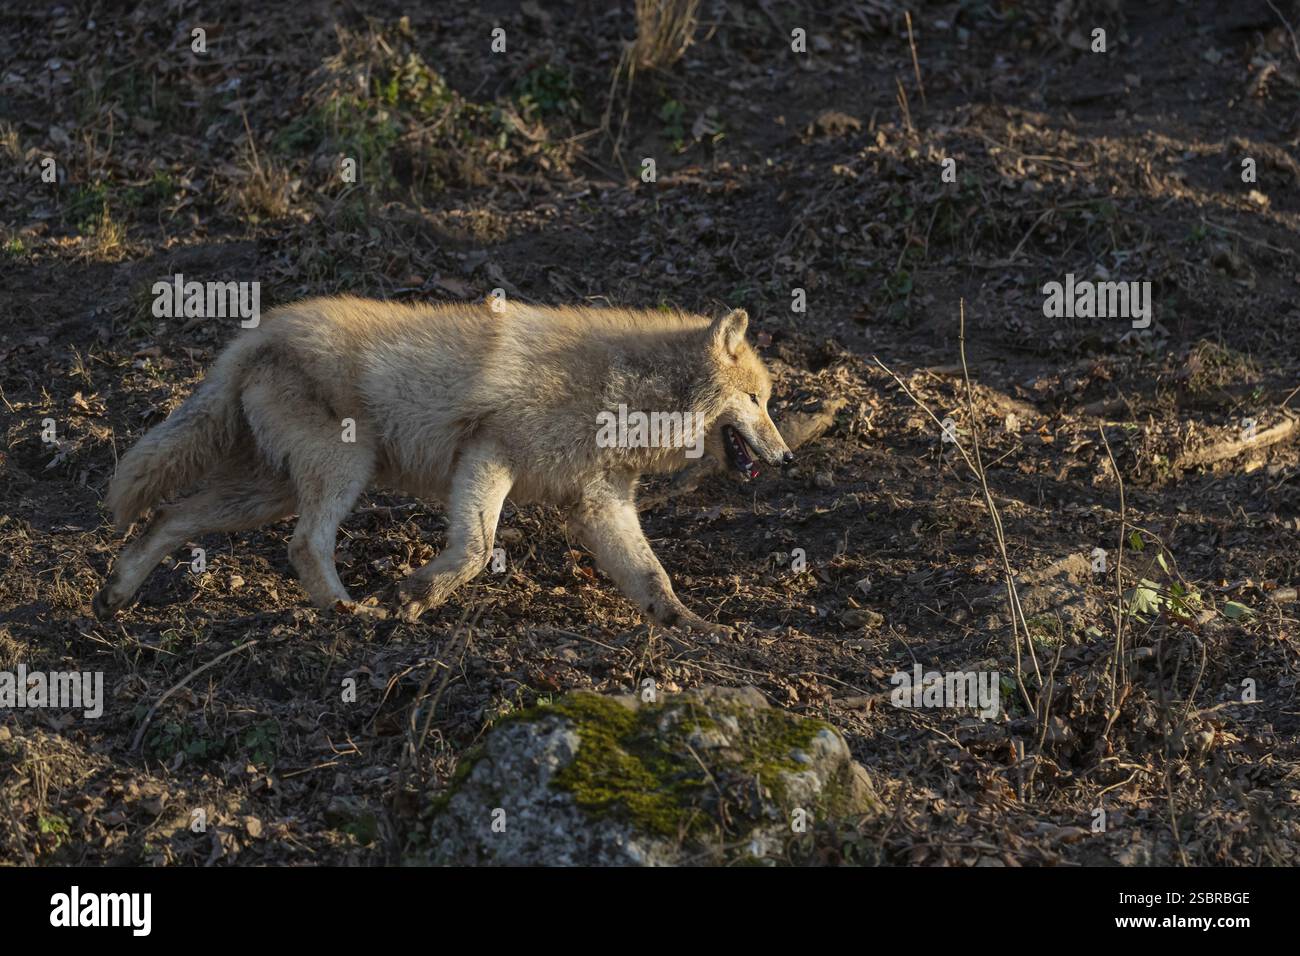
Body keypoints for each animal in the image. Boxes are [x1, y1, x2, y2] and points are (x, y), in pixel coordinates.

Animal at [93, 297, 793, 631]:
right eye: (758, 401)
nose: (786, 457)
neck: (618, 392)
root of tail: (252, 335)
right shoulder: (487, 455)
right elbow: (477, 551)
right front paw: (411, 599)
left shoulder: (600, 505)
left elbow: (654, 578)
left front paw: (692, 626)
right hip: (342, 473)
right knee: (303, 545)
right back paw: (348, 612)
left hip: (270, 494)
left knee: (171, 516)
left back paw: (116, 594)